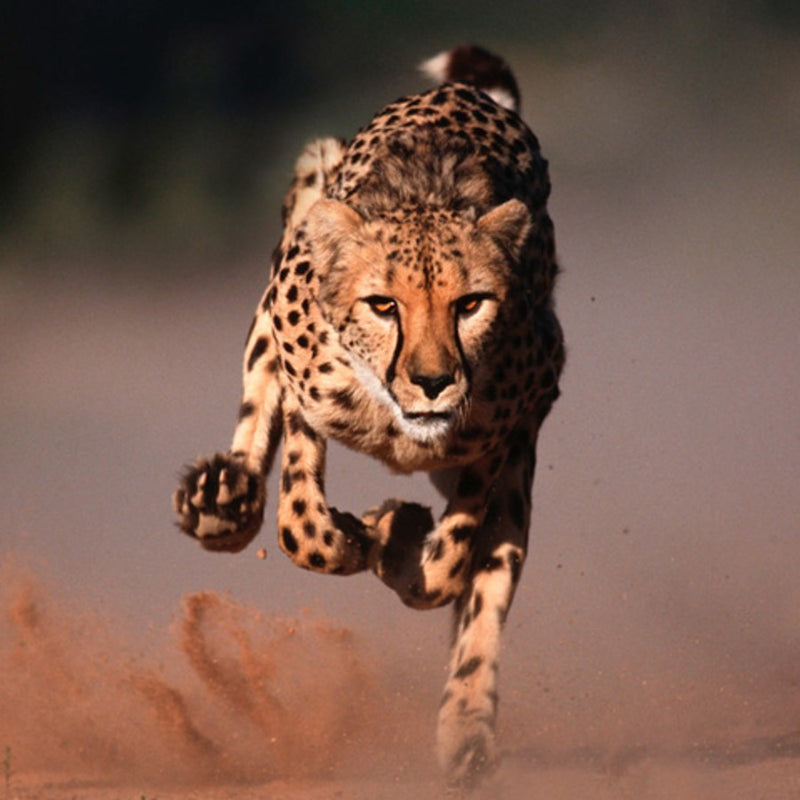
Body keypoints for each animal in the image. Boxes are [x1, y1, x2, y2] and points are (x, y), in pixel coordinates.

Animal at [174, 44, 565, 788]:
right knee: (255, 408)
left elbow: (451, 565)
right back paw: (221, 500)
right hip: (297, 224)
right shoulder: (306, 387)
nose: (435, 382)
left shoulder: (509, 424)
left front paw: (397, 537)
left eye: (471, 304)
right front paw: (362, 537)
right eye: (384, 305)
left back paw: (466, 728)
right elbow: (301, 526)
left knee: (485, 591)